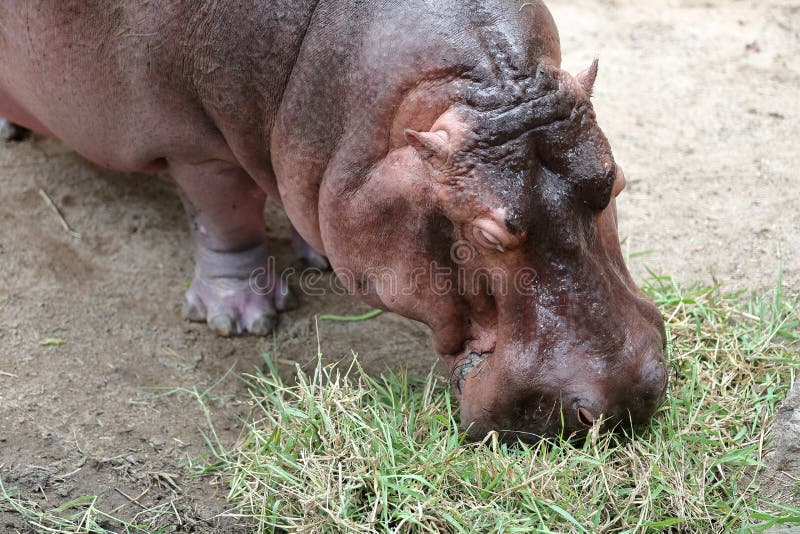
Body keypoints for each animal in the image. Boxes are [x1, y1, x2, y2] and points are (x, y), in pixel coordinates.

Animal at [0, 0, 667, 440]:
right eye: (485, 234)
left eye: (615, 181)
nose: (623, 402)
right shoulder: (195, 143)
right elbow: (224, 218)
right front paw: (243, 321)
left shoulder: (307, 155)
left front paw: (314, 257)